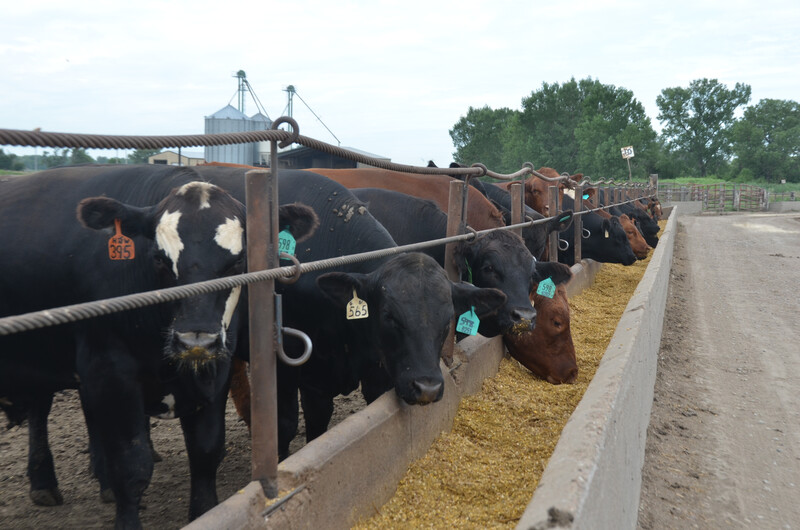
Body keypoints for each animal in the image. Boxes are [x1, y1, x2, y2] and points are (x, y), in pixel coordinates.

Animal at [0, 164, 318, 528]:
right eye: (160, 259)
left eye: (238, 263)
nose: (196, 339)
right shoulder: (109, 370)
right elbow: (131, 464)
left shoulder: (215, 368)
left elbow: (206, 450)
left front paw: (204, 513)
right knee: (43, 411)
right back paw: (47, 483)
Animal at [194, 167, 509, 459]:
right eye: (389, 316)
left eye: (447, 319)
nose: (428, 388)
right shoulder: (302, 378)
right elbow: (295, 426)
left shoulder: (375, 372)